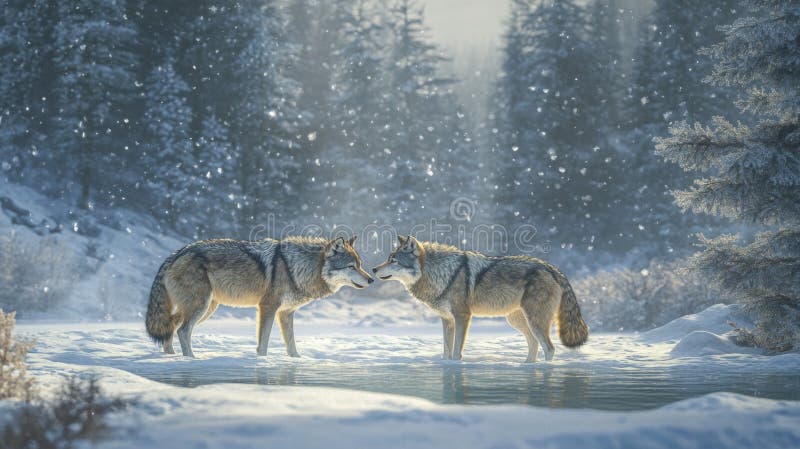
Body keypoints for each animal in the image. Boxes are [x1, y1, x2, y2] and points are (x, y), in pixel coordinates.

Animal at [146, 236, 372, 357]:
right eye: (351, 267)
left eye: (360, 265)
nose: (371, 279)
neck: (296, 268)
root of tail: (175, 253)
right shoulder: (268, 307)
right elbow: (263, 342)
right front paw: (262, 361)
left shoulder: (286, 313)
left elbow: (291, 343)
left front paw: (298, 360)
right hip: (201, 307)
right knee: (183, 330)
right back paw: (191, 359)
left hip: (206, 308)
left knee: (171, 326)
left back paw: (171, 357)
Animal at [373, 235, 588, 362]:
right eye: (388, 258)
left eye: (393, 260)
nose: (373, 269)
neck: (441, 273)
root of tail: (553, 269)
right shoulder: (447, 319)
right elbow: (446, 351)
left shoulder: (462, 317)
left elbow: (456, 351)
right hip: (517, 320)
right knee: (534, 345)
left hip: (534, 321)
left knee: (549, 349)